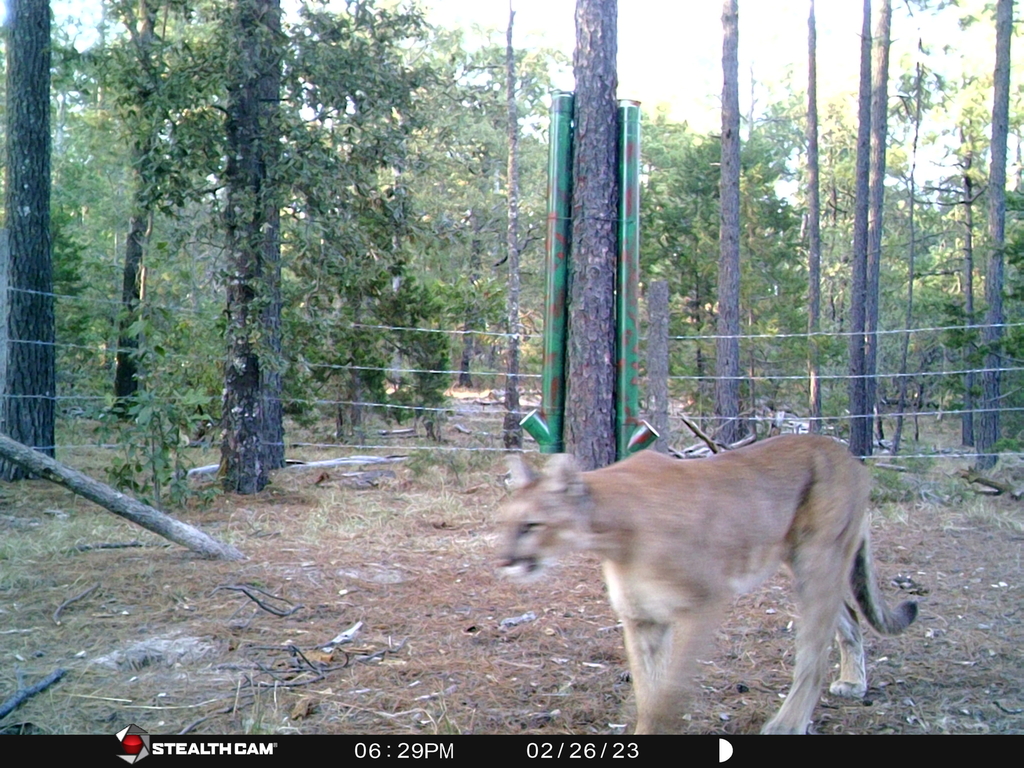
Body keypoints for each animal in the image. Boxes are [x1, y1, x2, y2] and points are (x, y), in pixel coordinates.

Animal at [497, 434, 917, 734]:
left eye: (531, 525)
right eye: (507, 521)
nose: (504, 561)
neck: (615, 535)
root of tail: (850, 456)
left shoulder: (704, 604)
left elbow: (668, 695)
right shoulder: (642, 619)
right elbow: (649, 693)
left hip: (818, 560)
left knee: (814, 653)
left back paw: (787, 724)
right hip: (805, 565)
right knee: (847, 618)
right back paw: (853, 682)